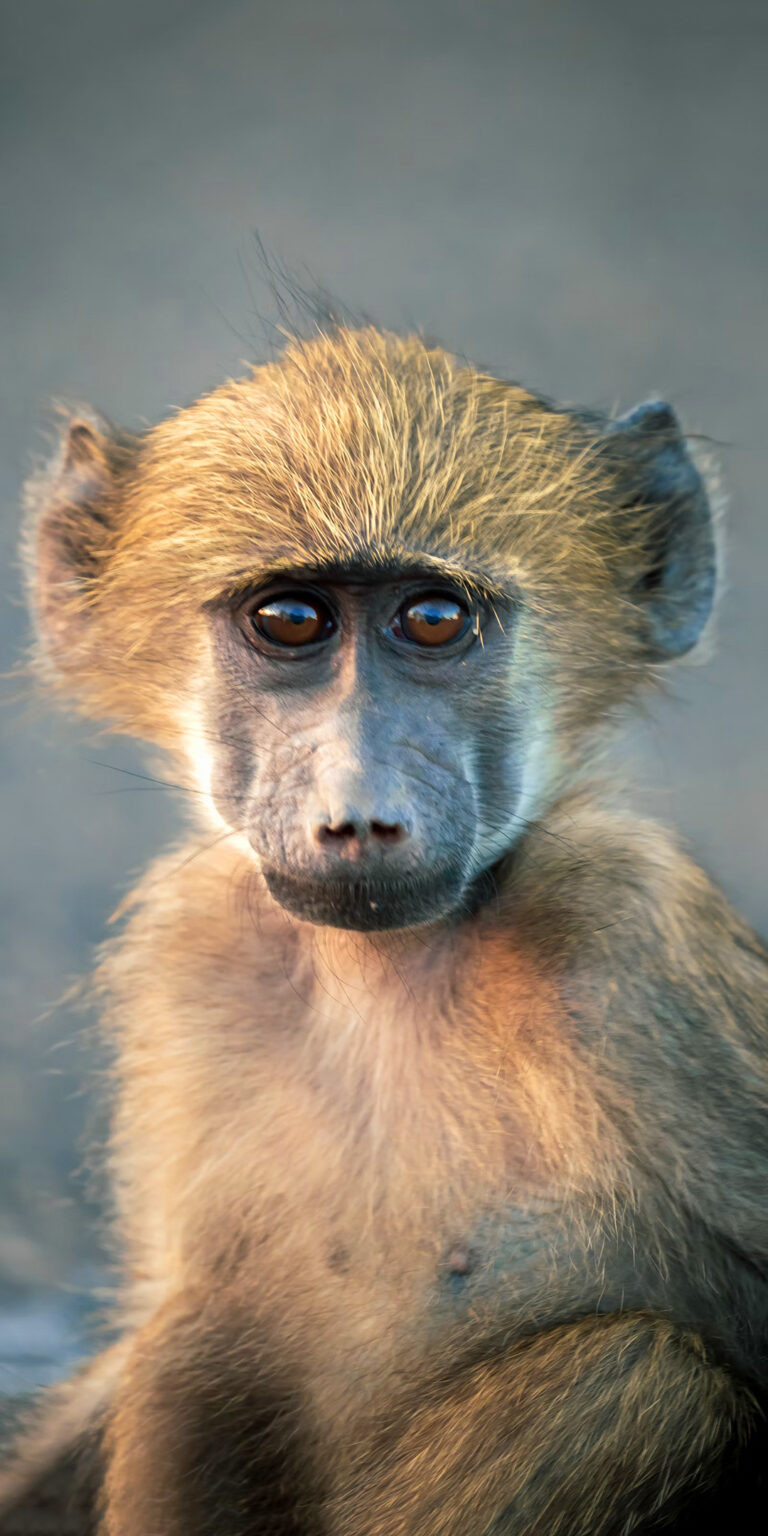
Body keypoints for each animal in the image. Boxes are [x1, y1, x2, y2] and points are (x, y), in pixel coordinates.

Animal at [0, 320, 767, 1536]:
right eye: (290, 621)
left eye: (434, 620)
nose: (359, 815)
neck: (381, 974)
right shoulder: (187, 950)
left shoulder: (636, 937)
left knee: (631, 1376)